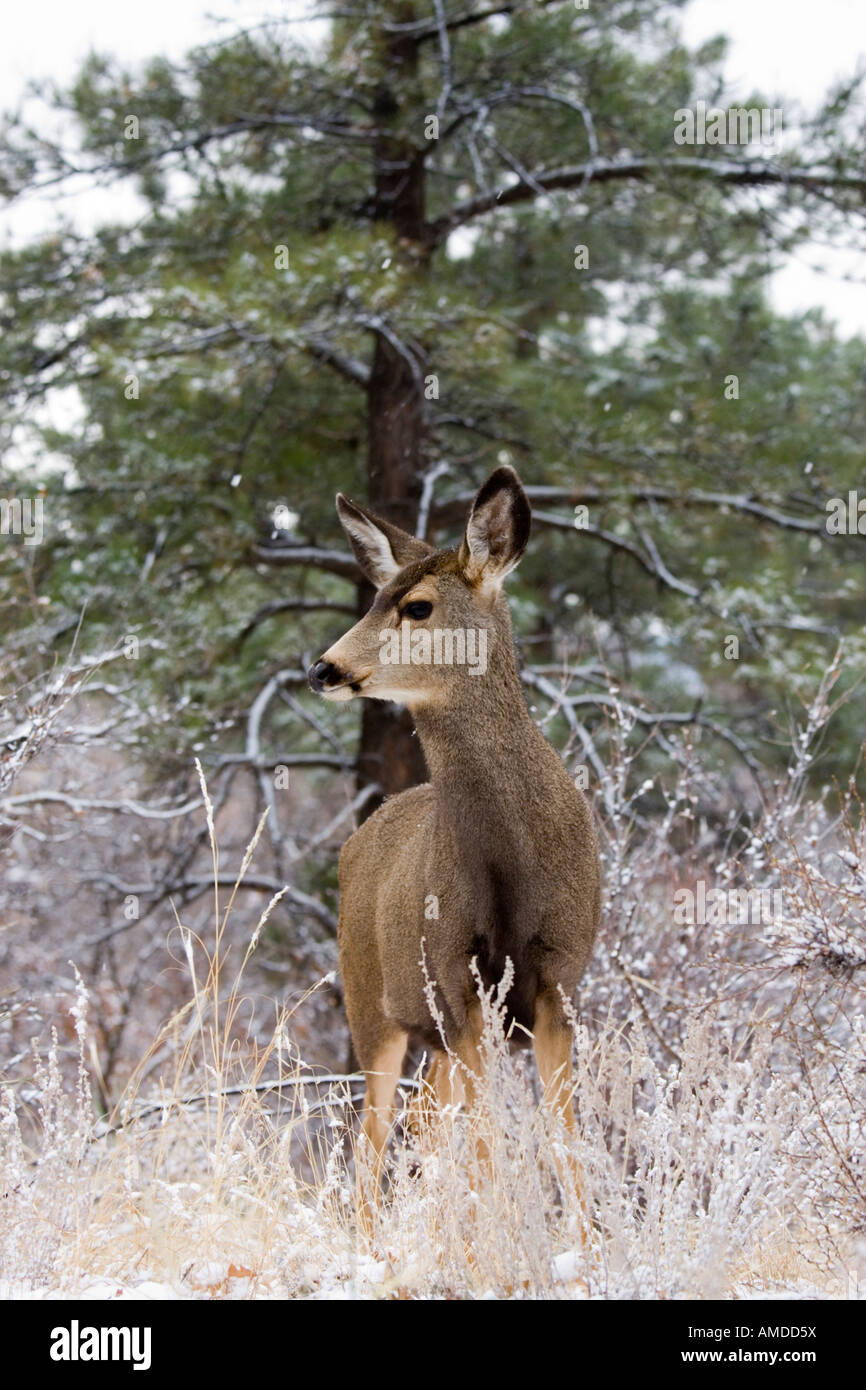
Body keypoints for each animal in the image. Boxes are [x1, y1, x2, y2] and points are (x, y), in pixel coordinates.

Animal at [308, 465, 601, 1233]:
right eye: (374, 598)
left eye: (416, 606)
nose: (323, 669)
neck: (509, 870)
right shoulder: (456, 978)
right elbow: (486, 1150)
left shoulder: (558, 979)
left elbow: (565, 1143)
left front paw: (589, 1248)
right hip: (373, 1004)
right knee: (377, 1137)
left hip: (430, 1029)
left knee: (427, 1123)